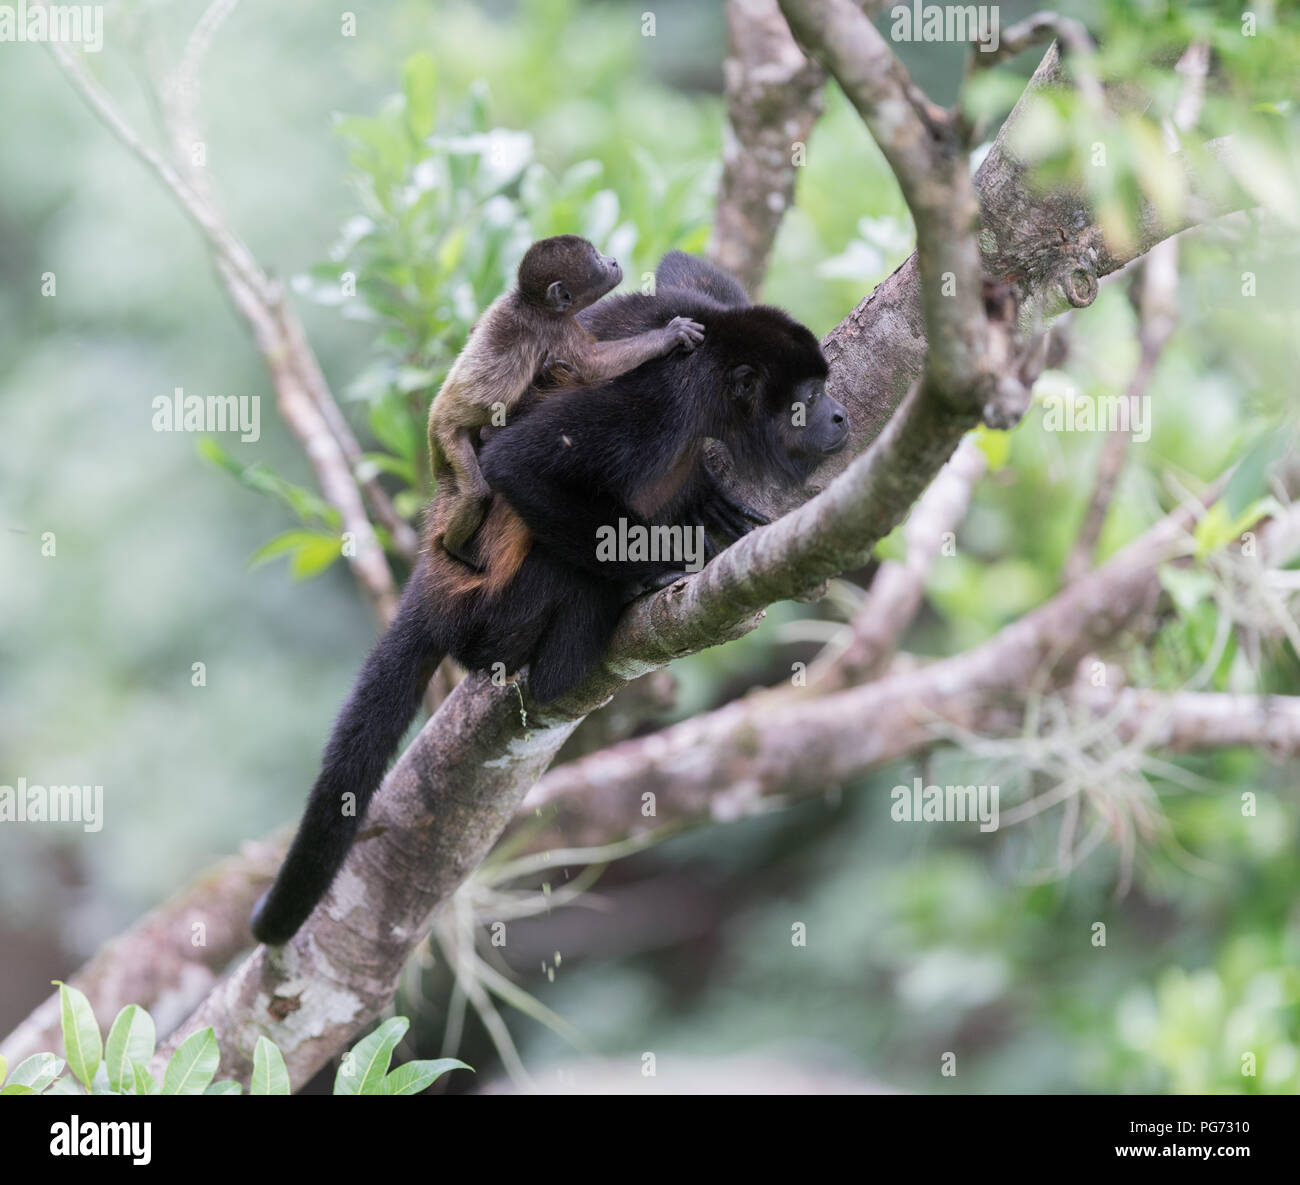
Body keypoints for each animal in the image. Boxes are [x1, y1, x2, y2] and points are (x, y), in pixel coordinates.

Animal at [427, 234, 704, 566]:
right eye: (596, 260)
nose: (612, 261)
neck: (530, 302)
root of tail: (434, 417)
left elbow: (477, 329)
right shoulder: (556, 325)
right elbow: (595, 364)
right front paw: (666, 337)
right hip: (449, 436)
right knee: (476, 492)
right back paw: (454, 546)